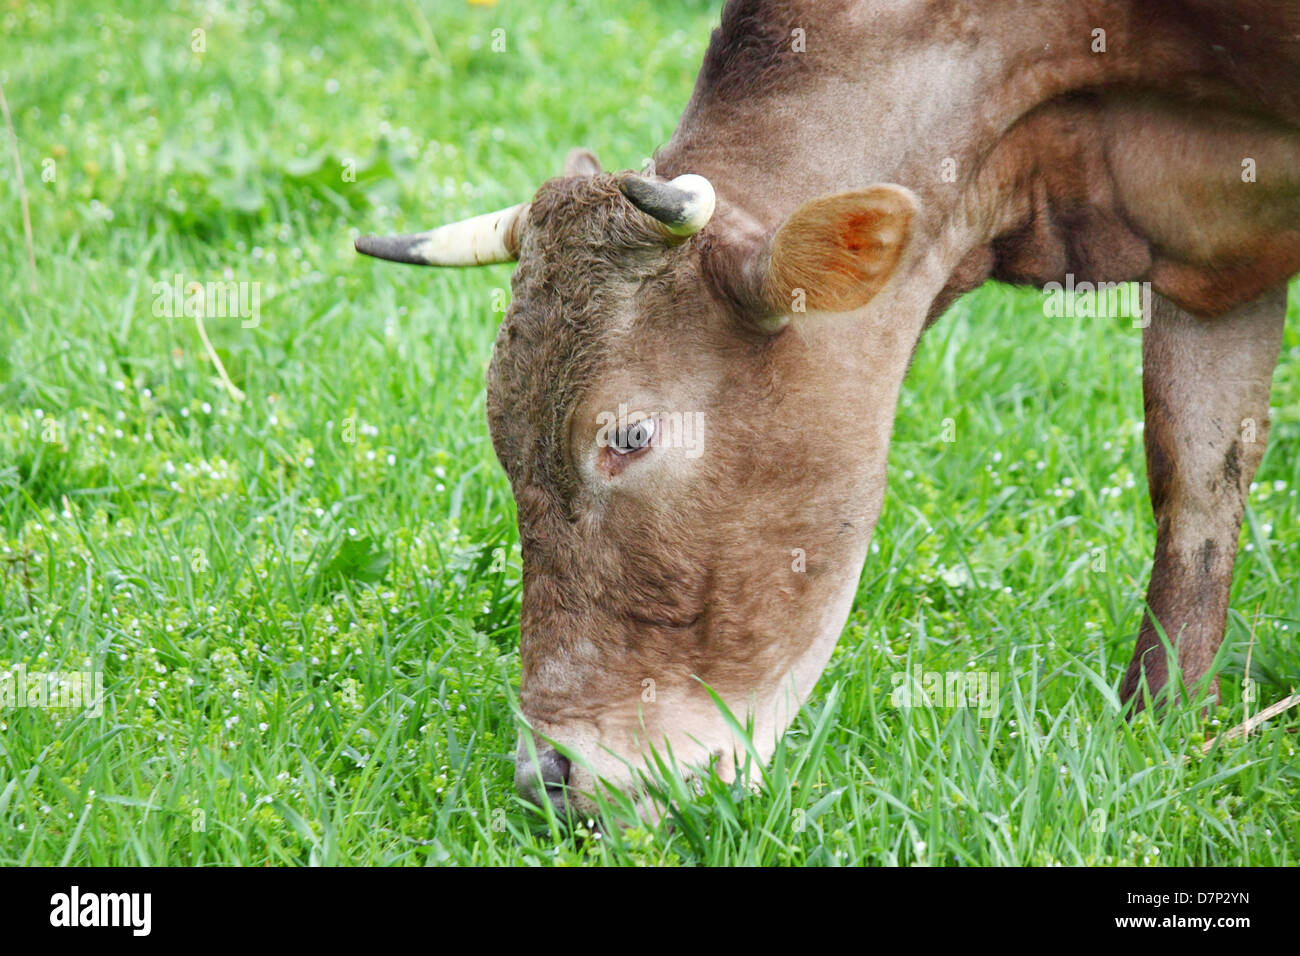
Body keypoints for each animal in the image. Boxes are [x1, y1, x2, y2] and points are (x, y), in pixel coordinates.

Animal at [356, 0, 1300, 813]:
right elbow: (1197, 481)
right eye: (502, 441)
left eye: (631, 434)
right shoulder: (1213, 270)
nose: (548, 780)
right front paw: (1165, 727)